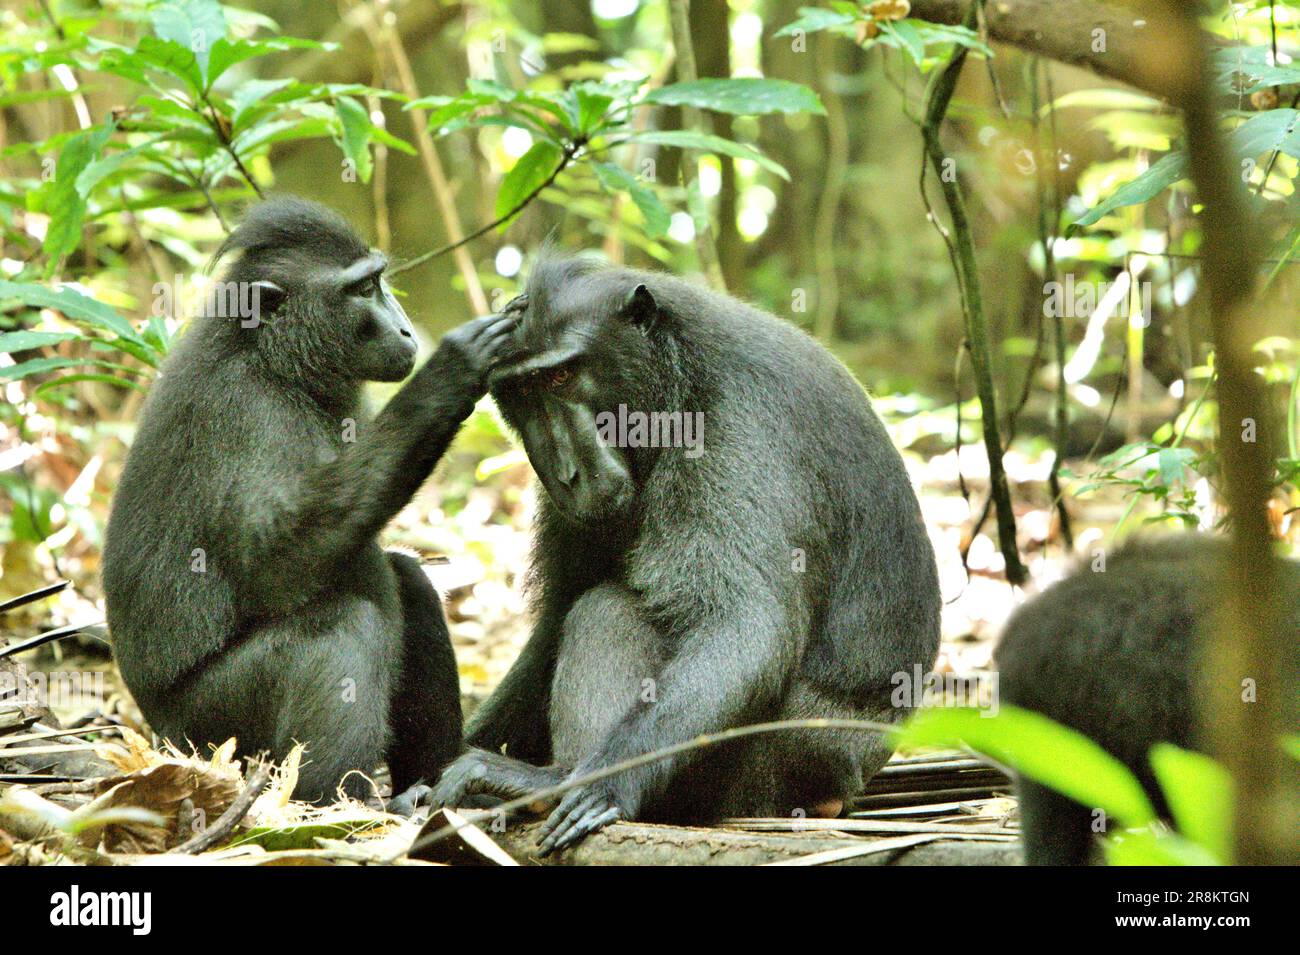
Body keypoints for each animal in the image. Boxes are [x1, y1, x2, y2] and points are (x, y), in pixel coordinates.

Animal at [102, 197, 516, 808]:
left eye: (379, 281)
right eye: (364, 289)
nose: (406, 330)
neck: (272, 358)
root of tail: (159, 733)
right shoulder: (246, 412)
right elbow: (272, 565)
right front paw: (449, 375)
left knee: (404, 578)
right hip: (213, 727)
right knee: (342, 624)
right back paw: (334, 805)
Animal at [431, 255, 942, 852]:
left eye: (560, 376)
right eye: (520, 391)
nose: (567, 473)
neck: (679, 376)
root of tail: (852, 781)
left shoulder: (738, 427)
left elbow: (745, 627)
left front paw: (592, 786)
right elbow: (551, 627)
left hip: (777, 763)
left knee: (608, 611)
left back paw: (551, 782)